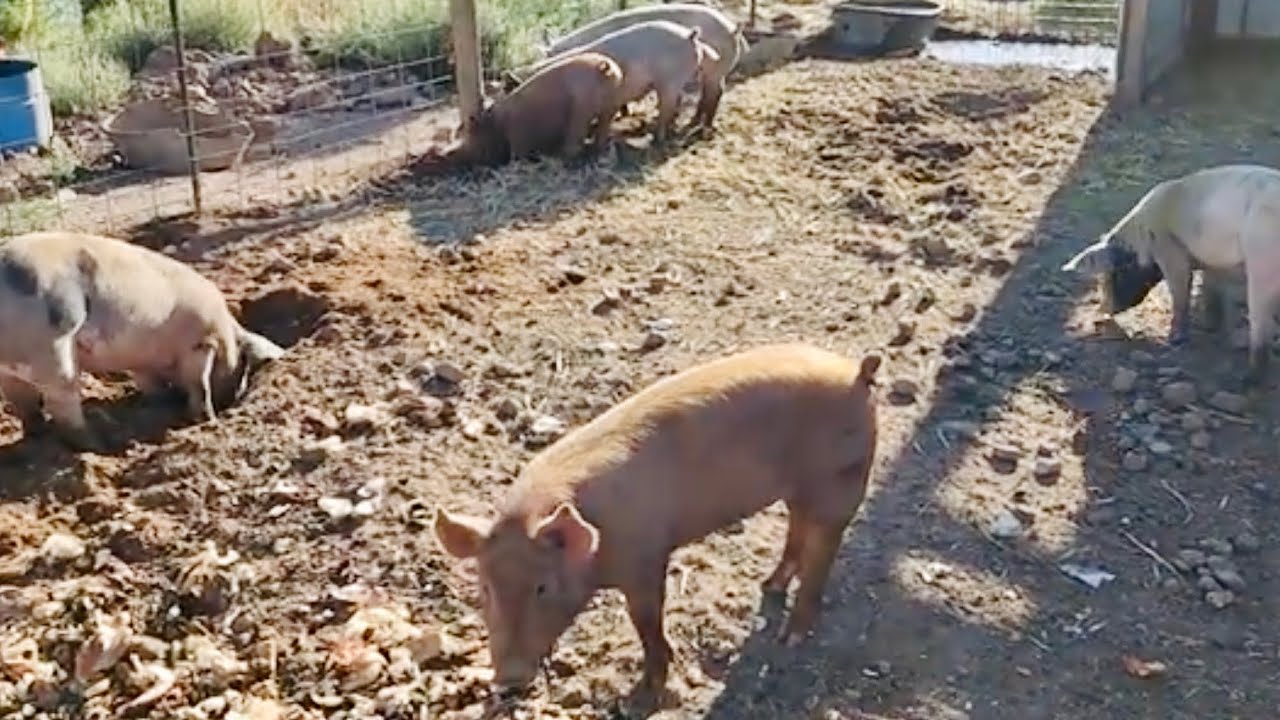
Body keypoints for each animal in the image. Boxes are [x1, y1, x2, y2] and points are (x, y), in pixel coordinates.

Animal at [0, 231, 286, 451]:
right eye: (244, 367)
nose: (232, 400)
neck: (226, 335)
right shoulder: (200, 343)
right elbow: (199, 384)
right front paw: (206, 420)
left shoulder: (142, 361)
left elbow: (150, 383)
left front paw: (158, 402)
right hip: (54, 343)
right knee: (63, 405)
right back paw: (99, 447)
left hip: (10, 371)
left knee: (25, 405)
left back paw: (36, 438)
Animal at [434, 342, 881, 704]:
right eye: (485, 588)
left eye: (542, 588)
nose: (508, 681)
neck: (596, 554)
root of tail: (855, 371)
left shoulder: (645, 559)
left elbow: (646, 621)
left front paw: (644, 694)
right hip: (800, 489)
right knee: (797, 528)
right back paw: (769, 585)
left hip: (843, 480)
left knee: (823, 549)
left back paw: (790, 637)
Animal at [461, 52, 623, 166]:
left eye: (474, 135)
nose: (476, 164)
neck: (497, 122)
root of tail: (606, 67)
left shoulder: (519, 135)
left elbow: (519, 153)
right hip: (611, 105)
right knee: (603, 128)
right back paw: (597, 150)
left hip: (582, 108)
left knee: (576, 136)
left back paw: (564, 157)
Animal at [1061, 163, 1280, 386]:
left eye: (1109, 275)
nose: (1102, 309)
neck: (1141, 239)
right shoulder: (1213, 261)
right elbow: (1212, 290)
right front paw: (1209, 326)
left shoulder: (1170, 251)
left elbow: (1180, 293)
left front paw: (1174, 340)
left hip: (1262, 261)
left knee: (1261, 323)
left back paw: (1246, 379)